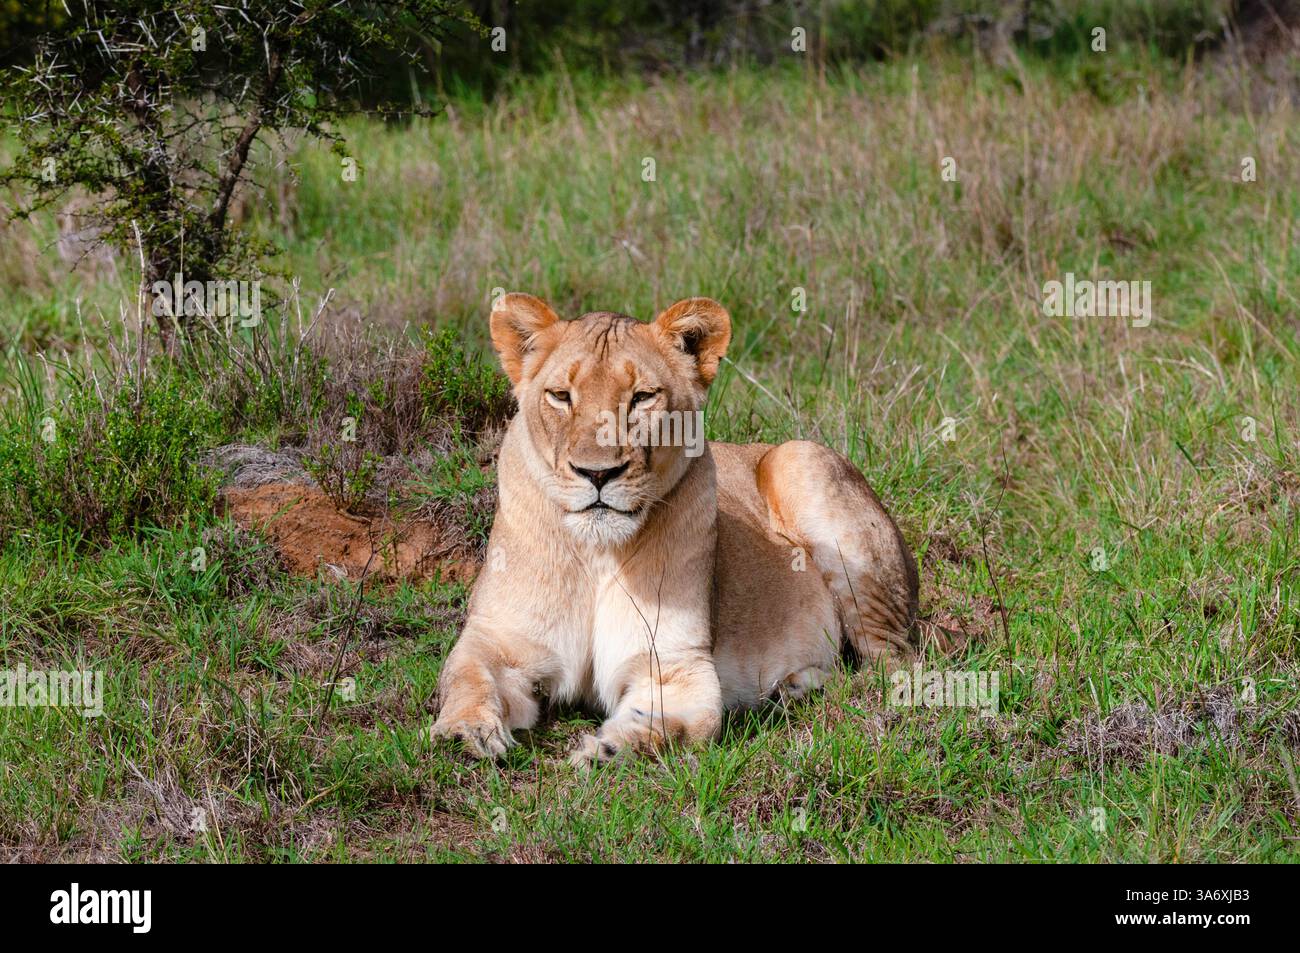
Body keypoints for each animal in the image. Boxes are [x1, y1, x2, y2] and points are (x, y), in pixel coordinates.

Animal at [431, 293, 918, 766]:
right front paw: (464, 733)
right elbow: (466, 676)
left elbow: (680, 725)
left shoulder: (675, 663)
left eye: (643, 397)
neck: (595, 552)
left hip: (802, 462)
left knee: (888, 665)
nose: (597, 473)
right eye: (561, 396)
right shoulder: (497, 639)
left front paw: (608, 750)